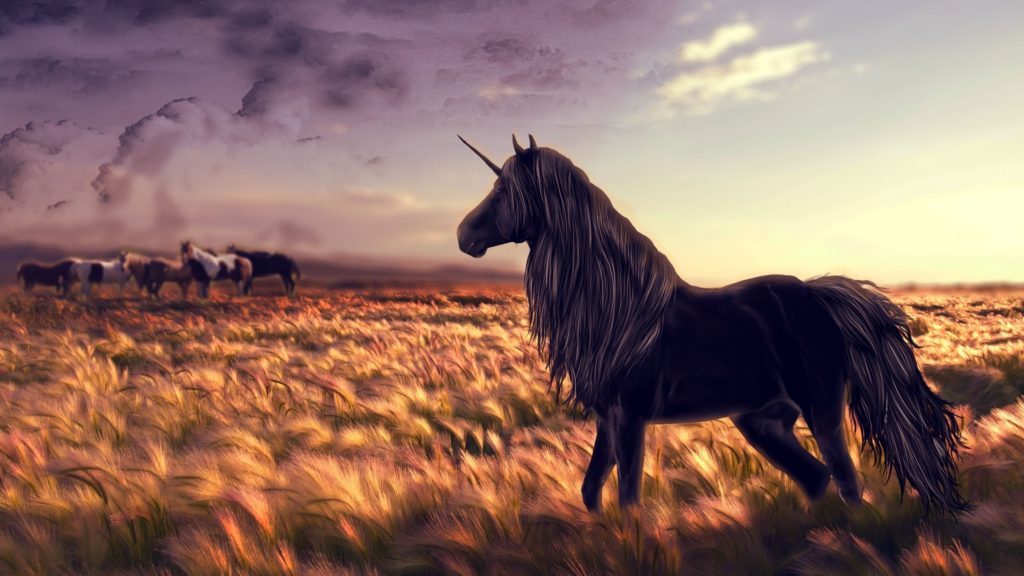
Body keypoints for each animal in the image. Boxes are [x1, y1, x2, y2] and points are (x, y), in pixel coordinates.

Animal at [456, 135, 968, 514]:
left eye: (504, 192)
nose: (463, 235)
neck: (621, 311)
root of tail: (817, 294)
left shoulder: (630, 418)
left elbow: (627, 498)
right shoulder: (608, 417)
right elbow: (590, 491)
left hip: (820, 411)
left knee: (844, 481)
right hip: (762, 420)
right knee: (817, 478)